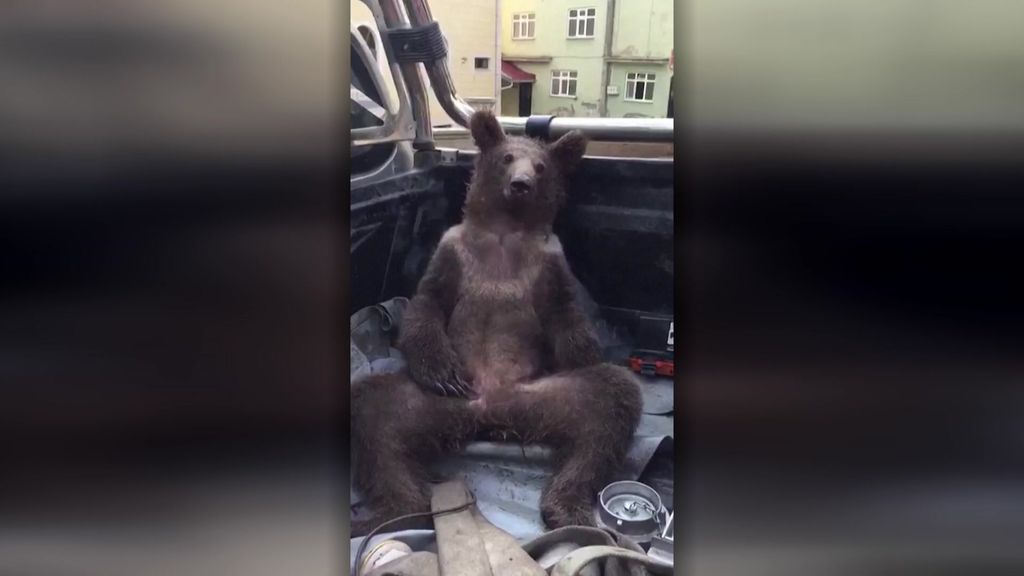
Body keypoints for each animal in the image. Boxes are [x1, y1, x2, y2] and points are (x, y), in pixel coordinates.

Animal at [350, 110, 643, 536]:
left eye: (541, 166)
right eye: (506, 157)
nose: (520, 184)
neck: (506, 232)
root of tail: (489, 416)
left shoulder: (549, 264)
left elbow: (565, 317)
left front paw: (583, 354)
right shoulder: (453, 251)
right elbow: (428, 305)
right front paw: (442, 372)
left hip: (543, 400)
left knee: (608, 409)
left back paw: (567, 507)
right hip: (430, 405)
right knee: (374, 415)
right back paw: (396, 509)